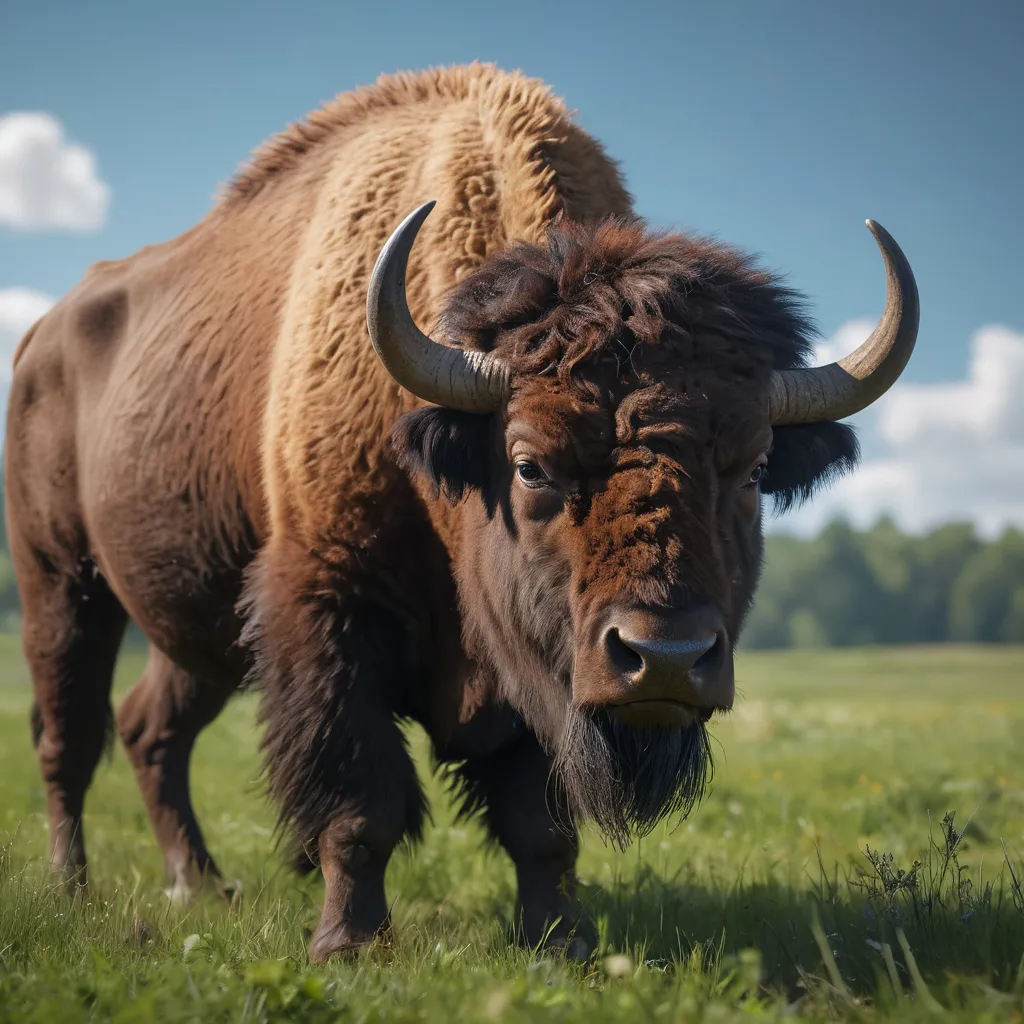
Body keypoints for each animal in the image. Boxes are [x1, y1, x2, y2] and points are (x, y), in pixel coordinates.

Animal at [4, 64, 917, 962]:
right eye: (528, 464)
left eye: (755, 466)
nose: (663, 659)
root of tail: (40, 338)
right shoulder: (325, 611)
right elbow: (361, 801)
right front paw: (348, 945)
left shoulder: (534, 677)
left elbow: (539, 823)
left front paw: (561, 942)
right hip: (62, 585)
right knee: (68, 734)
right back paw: (71, 888)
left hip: (200, 632)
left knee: (151, 727)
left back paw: (199, 885)